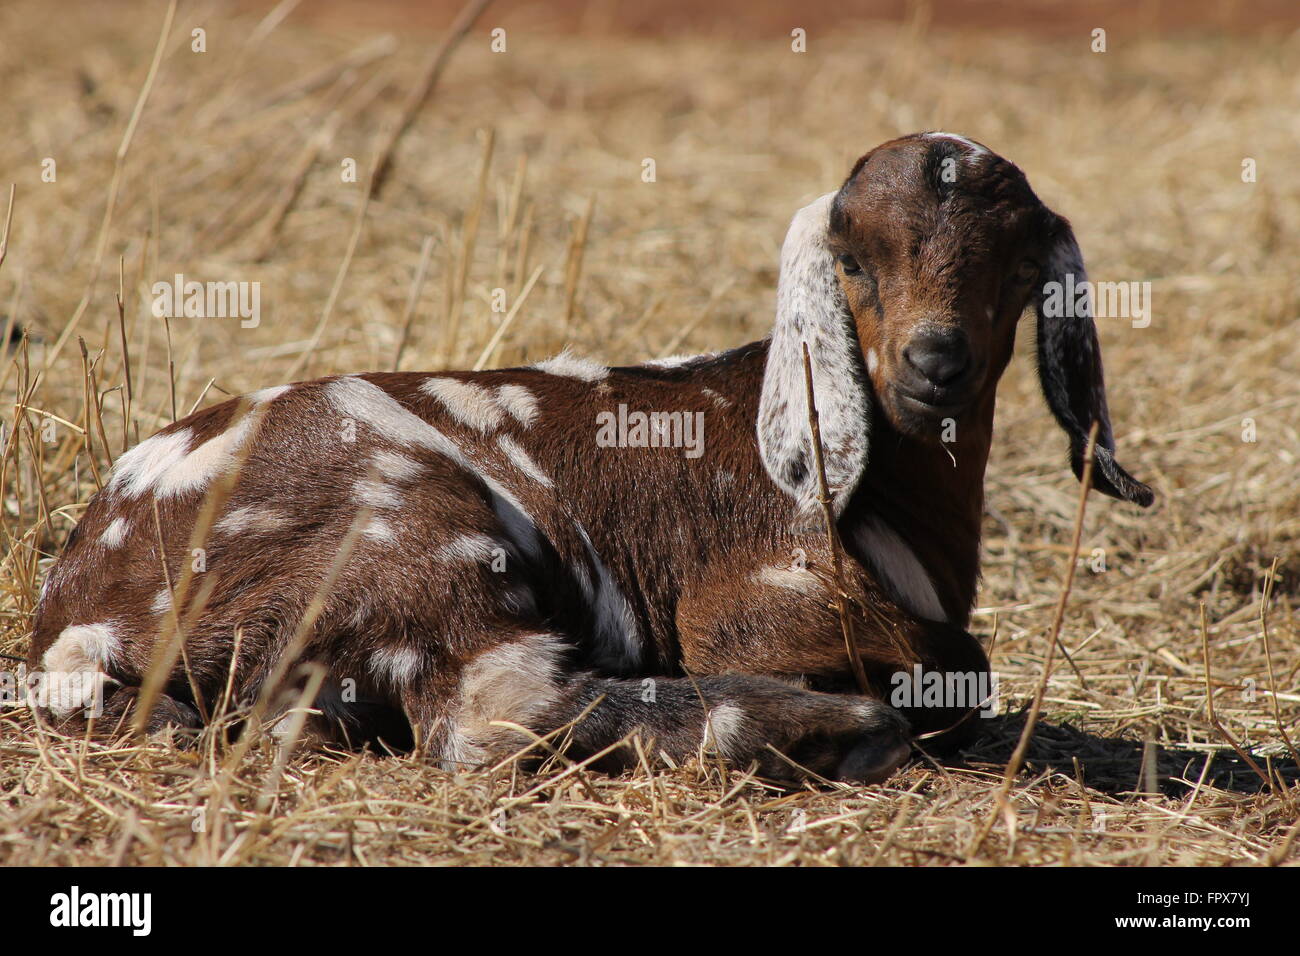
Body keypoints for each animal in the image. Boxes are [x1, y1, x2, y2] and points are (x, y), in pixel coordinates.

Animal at [26, 132, 1152, 784]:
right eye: (853, 262)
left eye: (1016, 267)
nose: (934, 363)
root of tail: (74, 618)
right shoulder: (751, 600)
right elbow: (959, 664)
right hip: (408, 520)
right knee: (493, 714)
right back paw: (833, 730)